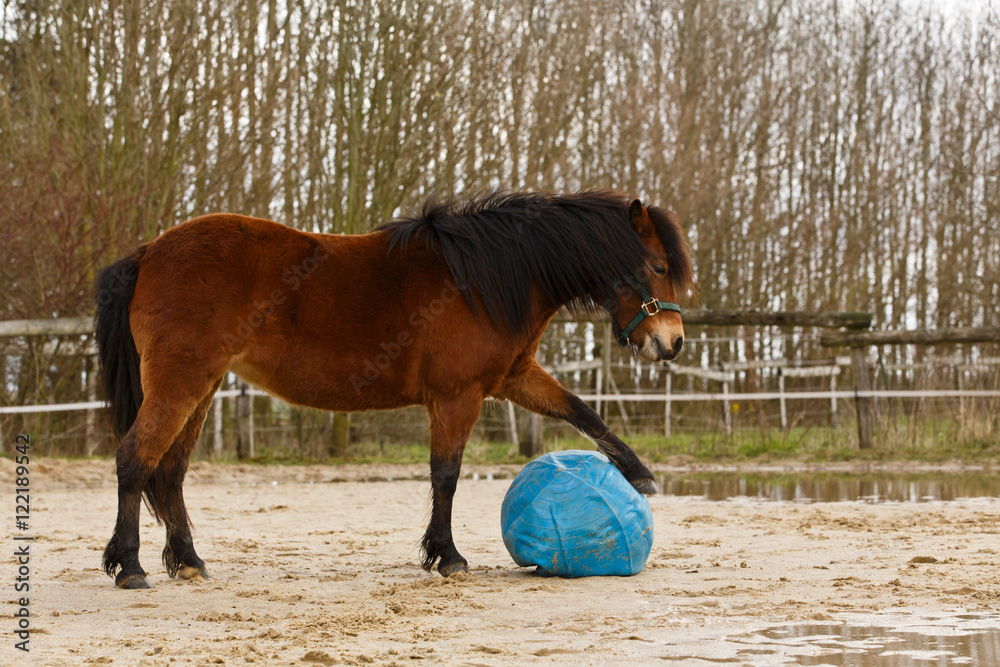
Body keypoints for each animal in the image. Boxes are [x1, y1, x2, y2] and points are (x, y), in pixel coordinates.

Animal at [94, 188, 694, 589]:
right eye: (657, 264)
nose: (673, 342)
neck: (484, 279)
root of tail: (149, 253)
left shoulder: (512, 377)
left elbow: (583, 412)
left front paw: (640, 475)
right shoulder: (458, 397)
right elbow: (446, 475)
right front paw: (446, 556)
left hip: (201, 388)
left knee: (169, 472)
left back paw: (189, 561)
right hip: (181, 383)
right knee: (135, 459)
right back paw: (130, 567)